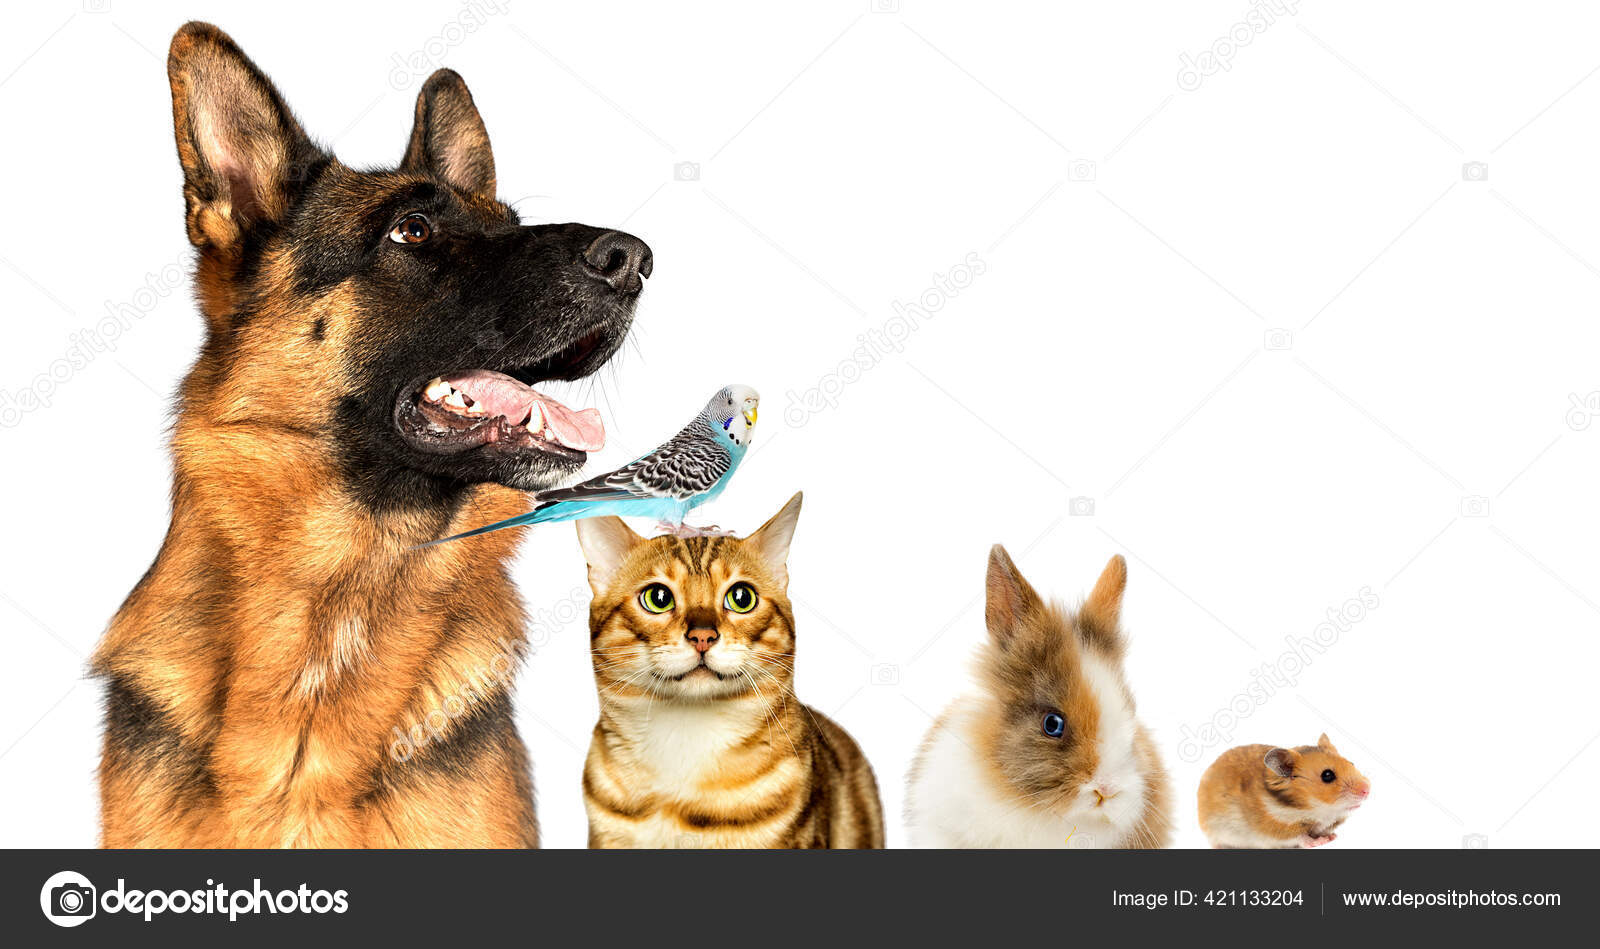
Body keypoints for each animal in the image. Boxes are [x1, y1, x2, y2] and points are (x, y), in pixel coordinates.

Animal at [1197, 734, 1371, 848]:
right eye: (1327, 775)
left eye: (1351, 763)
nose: (1367, 790)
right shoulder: (1277, 828)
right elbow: (1301, 837)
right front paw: (1321, 841)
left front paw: (1331, 837)